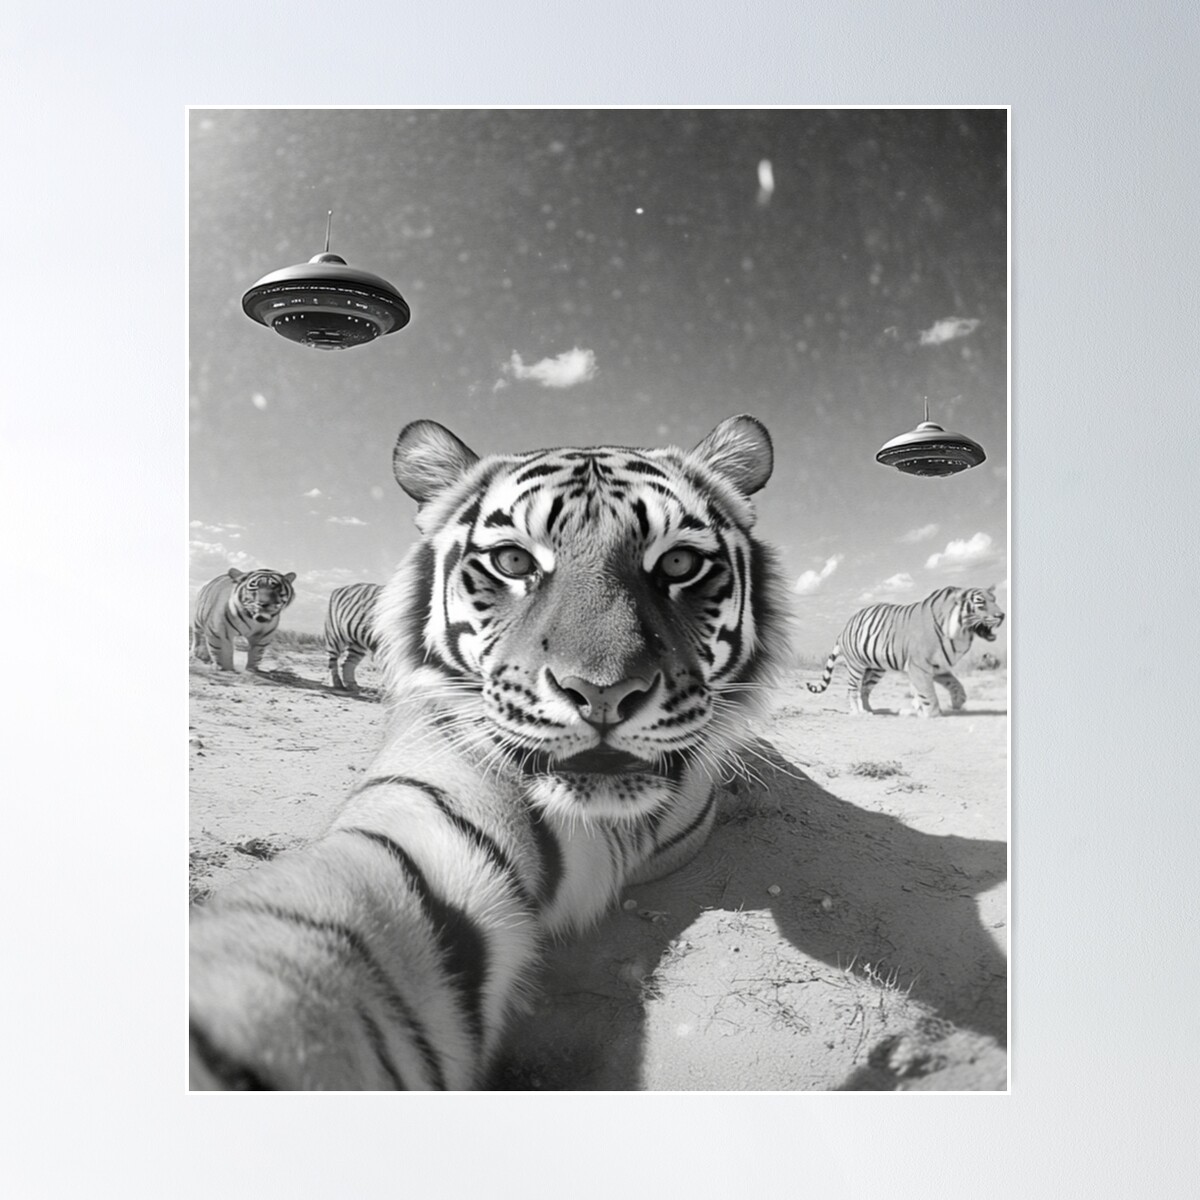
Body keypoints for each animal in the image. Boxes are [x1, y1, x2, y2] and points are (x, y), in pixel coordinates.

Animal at [807, 585, 1005, 717]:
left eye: (994, 600)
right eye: (980, 602)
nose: (1002, 615)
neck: (959, 633)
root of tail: (844, 628)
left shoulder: (939, 666)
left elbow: (955, 684)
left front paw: (958, 703)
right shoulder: (920, 665)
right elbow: (927, 693)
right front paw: (932, 714)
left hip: (875, 669)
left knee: (865, 689)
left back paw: (870, 710)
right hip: (856, 665)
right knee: (852, 689)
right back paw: (858, 713)